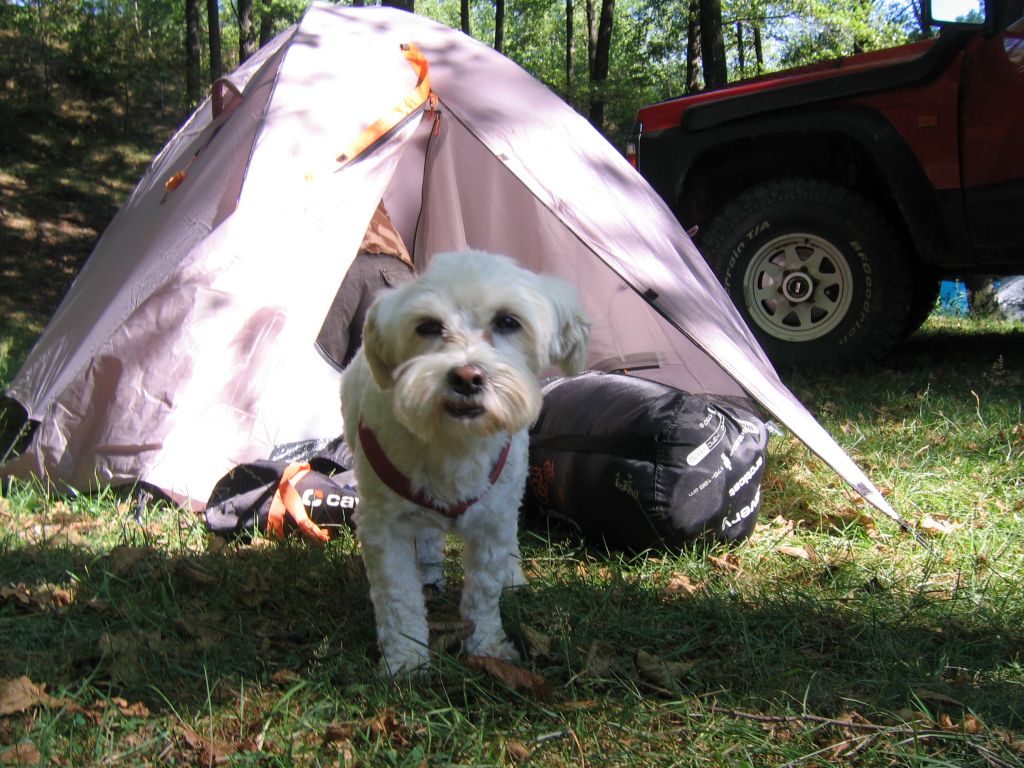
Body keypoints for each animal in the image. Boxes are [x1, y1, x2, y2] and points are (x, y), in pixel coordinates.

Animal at [339, 250, 589, 671]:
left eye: (508, 321)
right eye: (427, 326)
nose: (467, 376)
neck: (455, 444)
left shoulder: (493, 519)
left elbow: (484, 591)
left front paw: (487, 646)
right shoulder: (384, 526)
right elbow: (398, 596)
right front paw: (406, 658)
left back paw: (511, 573)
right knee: (427, 537)